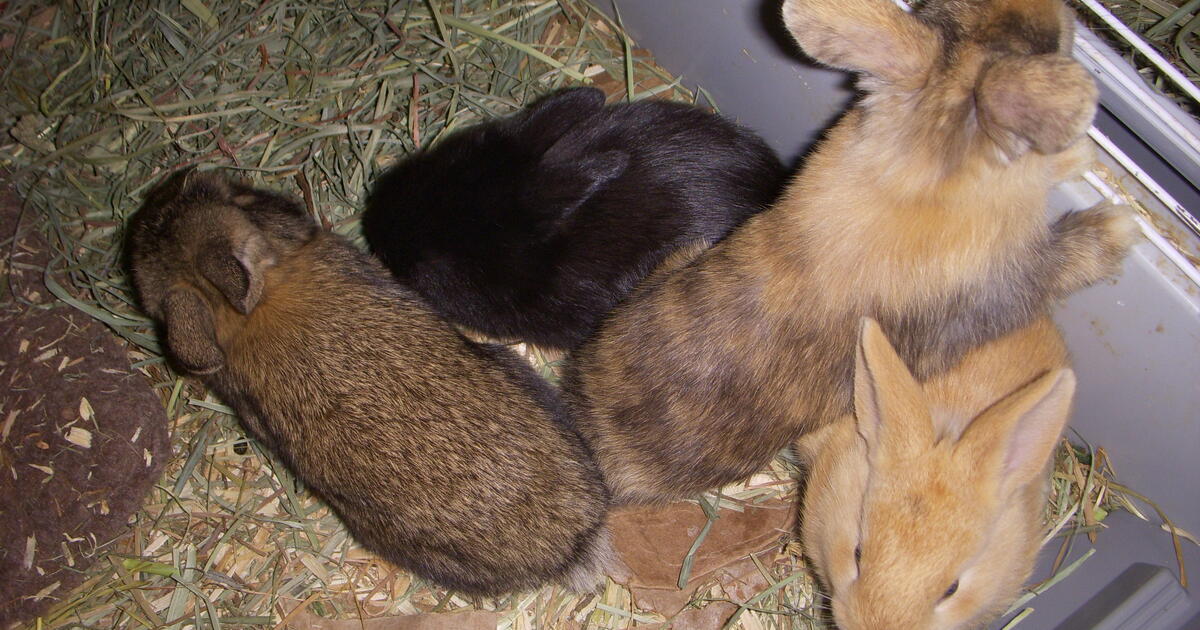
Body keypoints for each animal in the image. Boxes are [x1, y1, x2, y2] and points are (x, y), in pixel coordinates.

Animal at [564, 0, 1137, 504]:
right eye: (1045, 44)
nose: (1064, 17)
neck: (922, 163)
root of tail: (590, 424)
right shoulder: (1012, 280)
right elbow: (1060, 260)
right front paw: (1116, 224)